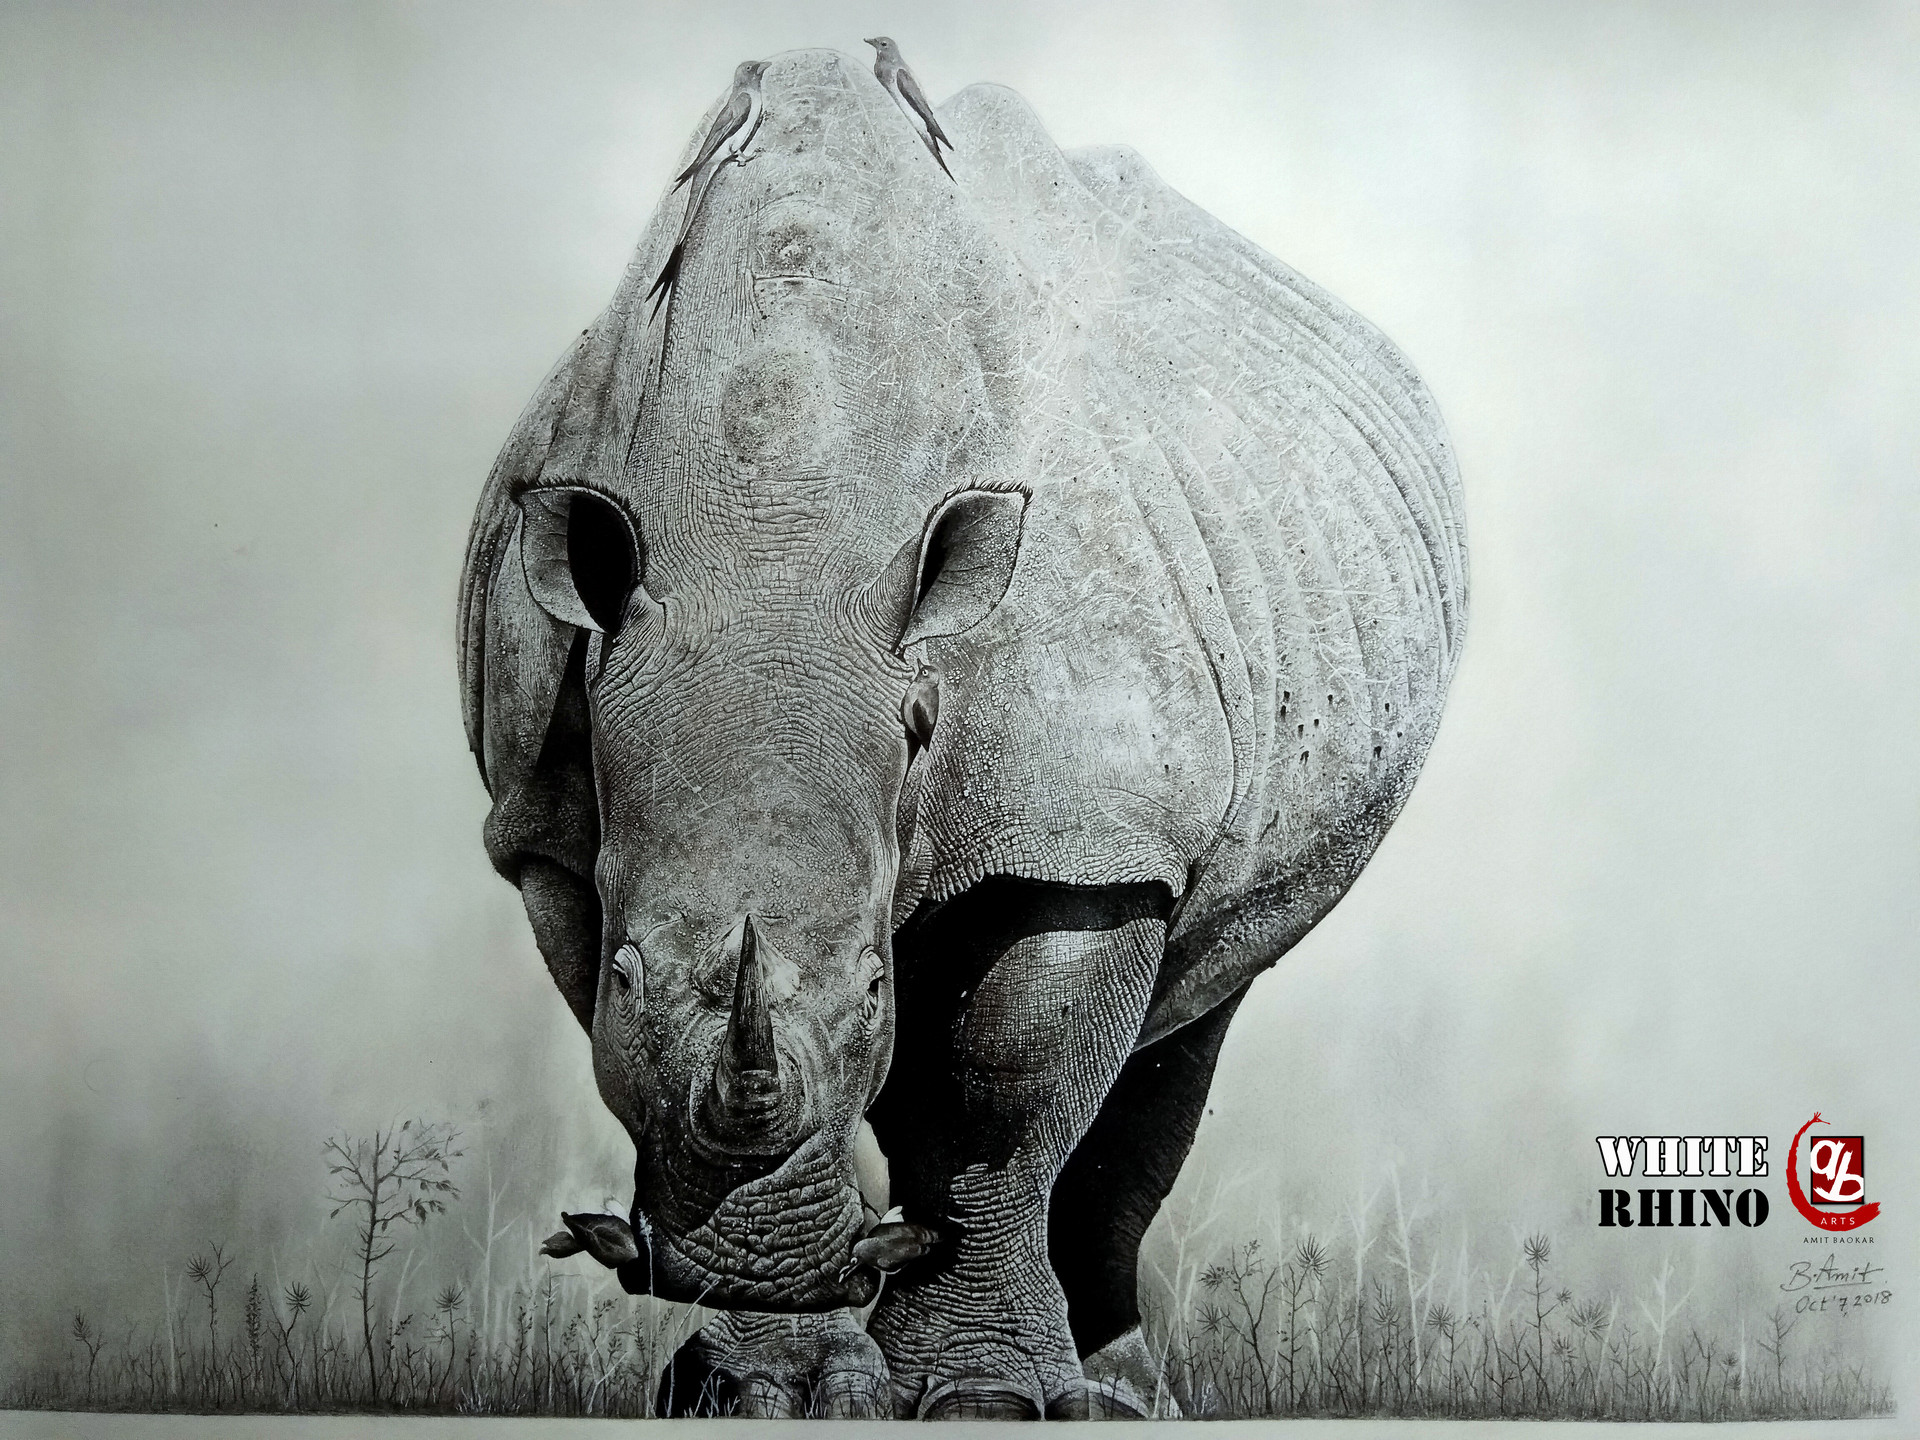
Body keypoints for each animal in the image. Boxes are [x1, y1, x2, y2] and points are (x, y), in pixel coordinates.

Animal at [457, 47, 1465, 1419]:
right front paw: (758, 1388)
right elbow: (654, 1066)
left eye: (875, 983)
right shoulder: (555, 819)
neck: (775, 560)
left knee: (1189, 1019)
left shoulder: (1085, 826)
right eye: (626, 974)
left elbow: (1005, 1097)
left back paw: (1115, 1395)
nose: (761, 1264)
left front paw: (983, 1400)